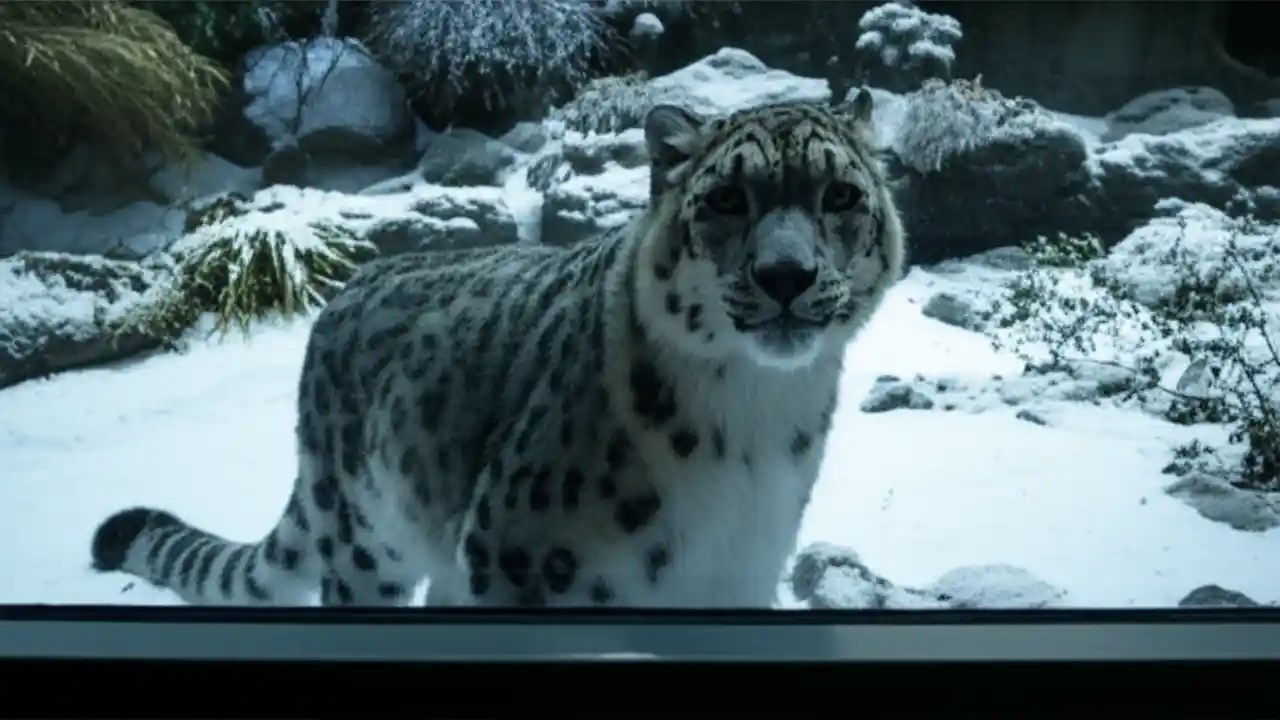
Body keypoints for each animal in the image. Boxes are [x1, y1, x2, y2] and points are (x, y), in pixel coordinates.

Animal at [88, 90, 907, 609]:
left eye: (839, 194)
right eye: (727, 199)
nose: (786, 276)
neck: (755, 415)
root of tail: (344, 294)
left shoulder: (737, 575)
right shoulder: (521, 563)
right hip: (366, 544)